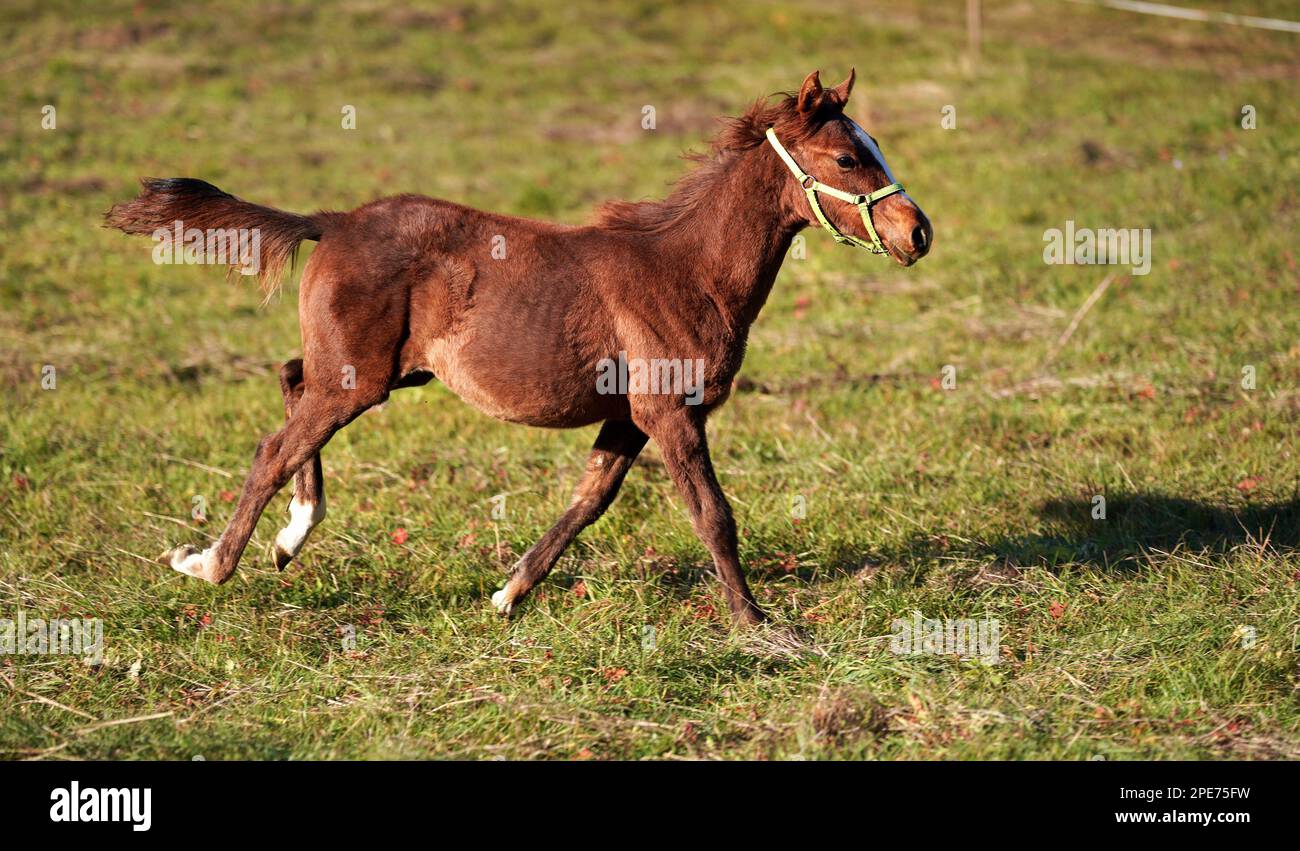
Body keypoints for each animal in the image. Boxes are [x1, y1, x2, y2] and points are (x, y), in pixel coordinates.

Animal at [105, 69, 932, 627]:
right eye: (849, 159)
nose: (917, 232)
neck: (689, 271)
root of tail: (333, 220)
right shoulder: (671, 413)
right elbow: (712, 516)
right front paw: (761, 624)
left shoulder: (629, 416)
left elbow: (589, 499)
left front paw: (509, 592)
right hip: (360, 379)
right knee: (274, 445)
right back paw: (211, 561)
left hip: (381, 372)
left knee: (288, 378)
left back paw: (290, 535)